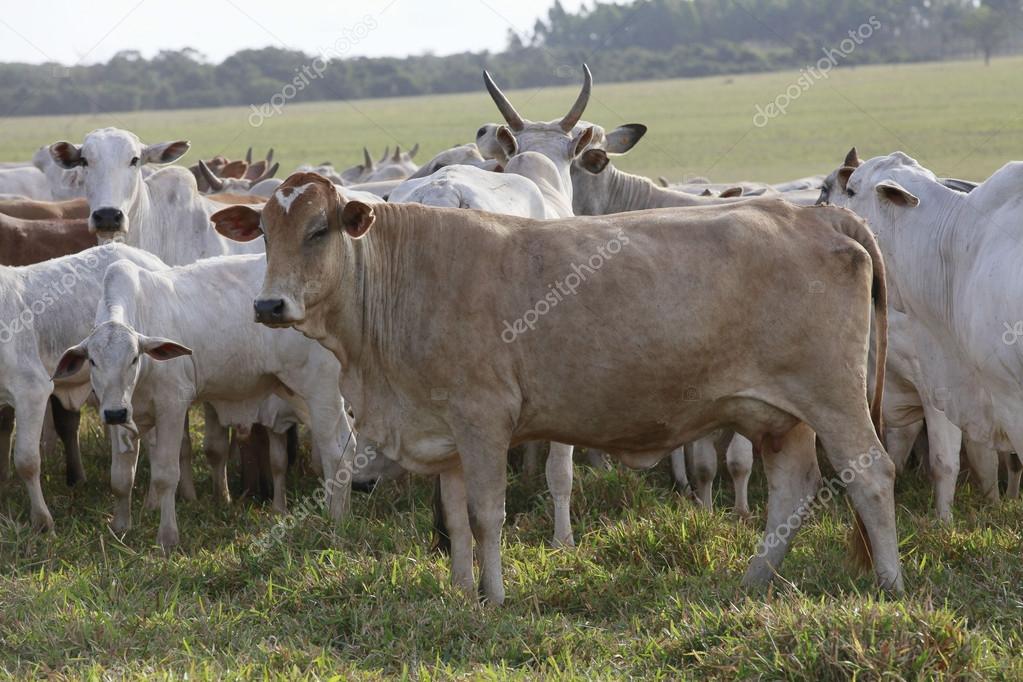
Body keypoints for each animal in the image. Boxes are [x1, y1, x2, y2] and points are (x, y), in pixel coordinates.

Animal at [54, 253, 354, 548]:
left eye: (134, 358)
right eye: (93, 361)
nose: (116, 413)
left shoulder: (173, 405)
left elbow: (166, 475)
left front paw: (168, 538)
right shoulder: (122, 414)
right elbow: (120, 477)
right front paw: (120, 528)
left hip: (321, 390)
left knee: (335, 452)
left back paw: (335, 520)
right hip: (299, 394)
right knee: (346, 445)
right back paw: (339, 511)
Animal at [211, 171, 902, 604]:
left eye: (319, 229)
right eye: (265, 233)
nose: (269, 304)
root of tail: (819, 217)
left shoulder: (484, 419)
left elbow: (486, 516)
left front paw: (493, 596)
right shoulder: (444, 431)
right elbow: (456, 520)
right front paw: (459, 592)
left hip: (832, 398)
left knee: (870, 474)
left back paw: (889, 584)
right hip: (777, 414)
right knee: (794, 489)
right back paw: (754, 580)